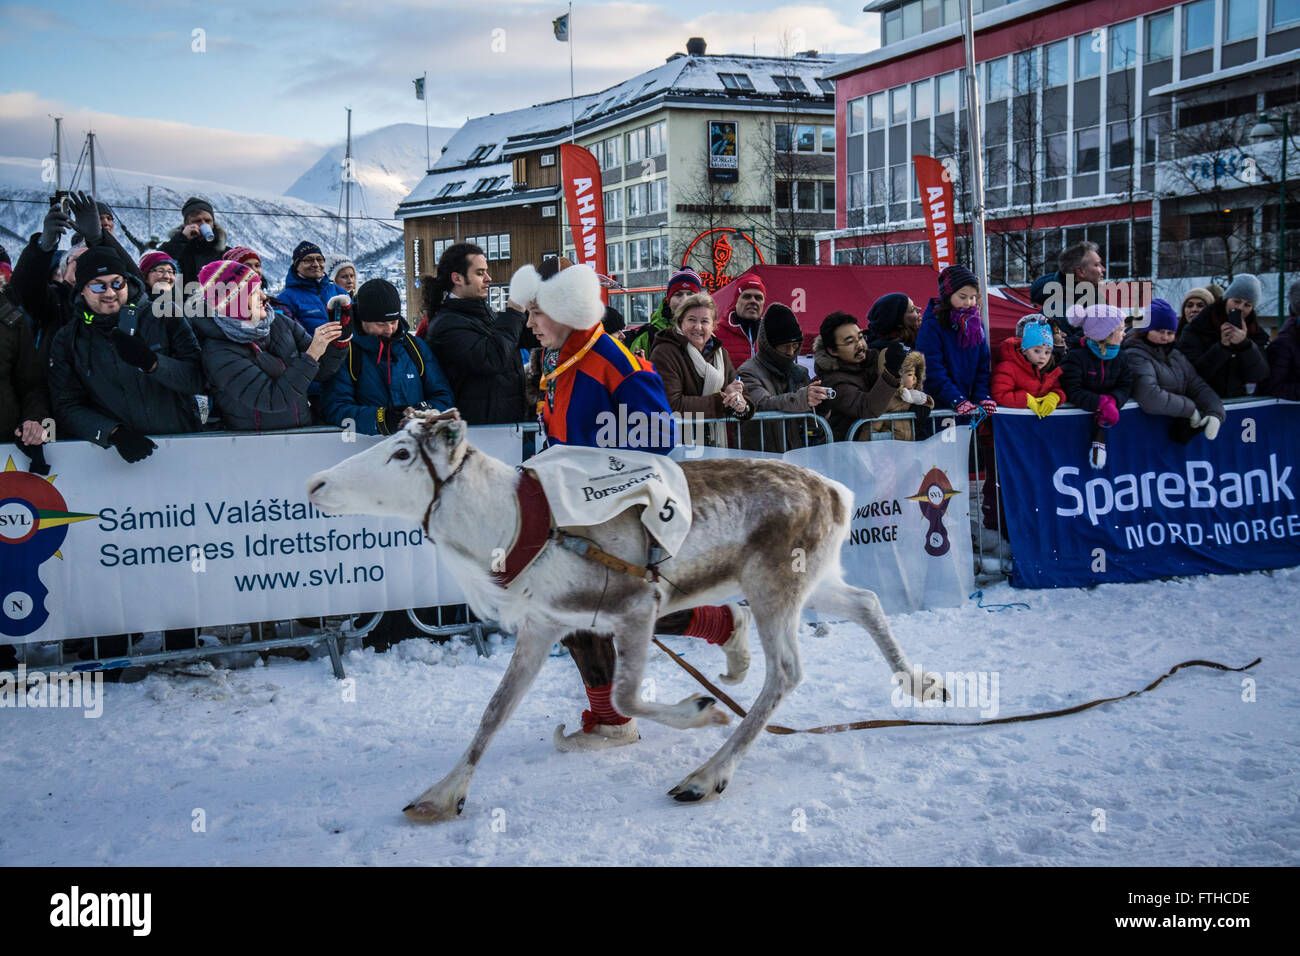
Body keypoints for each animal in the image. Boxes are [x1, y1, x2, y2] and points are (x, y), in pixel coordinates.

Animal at [306, 409, 944, 823]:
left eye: (402, 452)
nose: (314, 482)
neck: (510, 527)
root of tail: (836, 490)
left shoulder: (636, 606)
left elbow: (628, 695)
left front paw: (700, 709)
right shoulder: (543, 625)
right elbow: (492, 713)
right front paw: (443, 794)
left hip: (773, 587)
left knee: (786, 672)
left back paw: (705, 776)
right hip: (811, 582)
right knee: (867, 600)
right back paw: (919, 682)